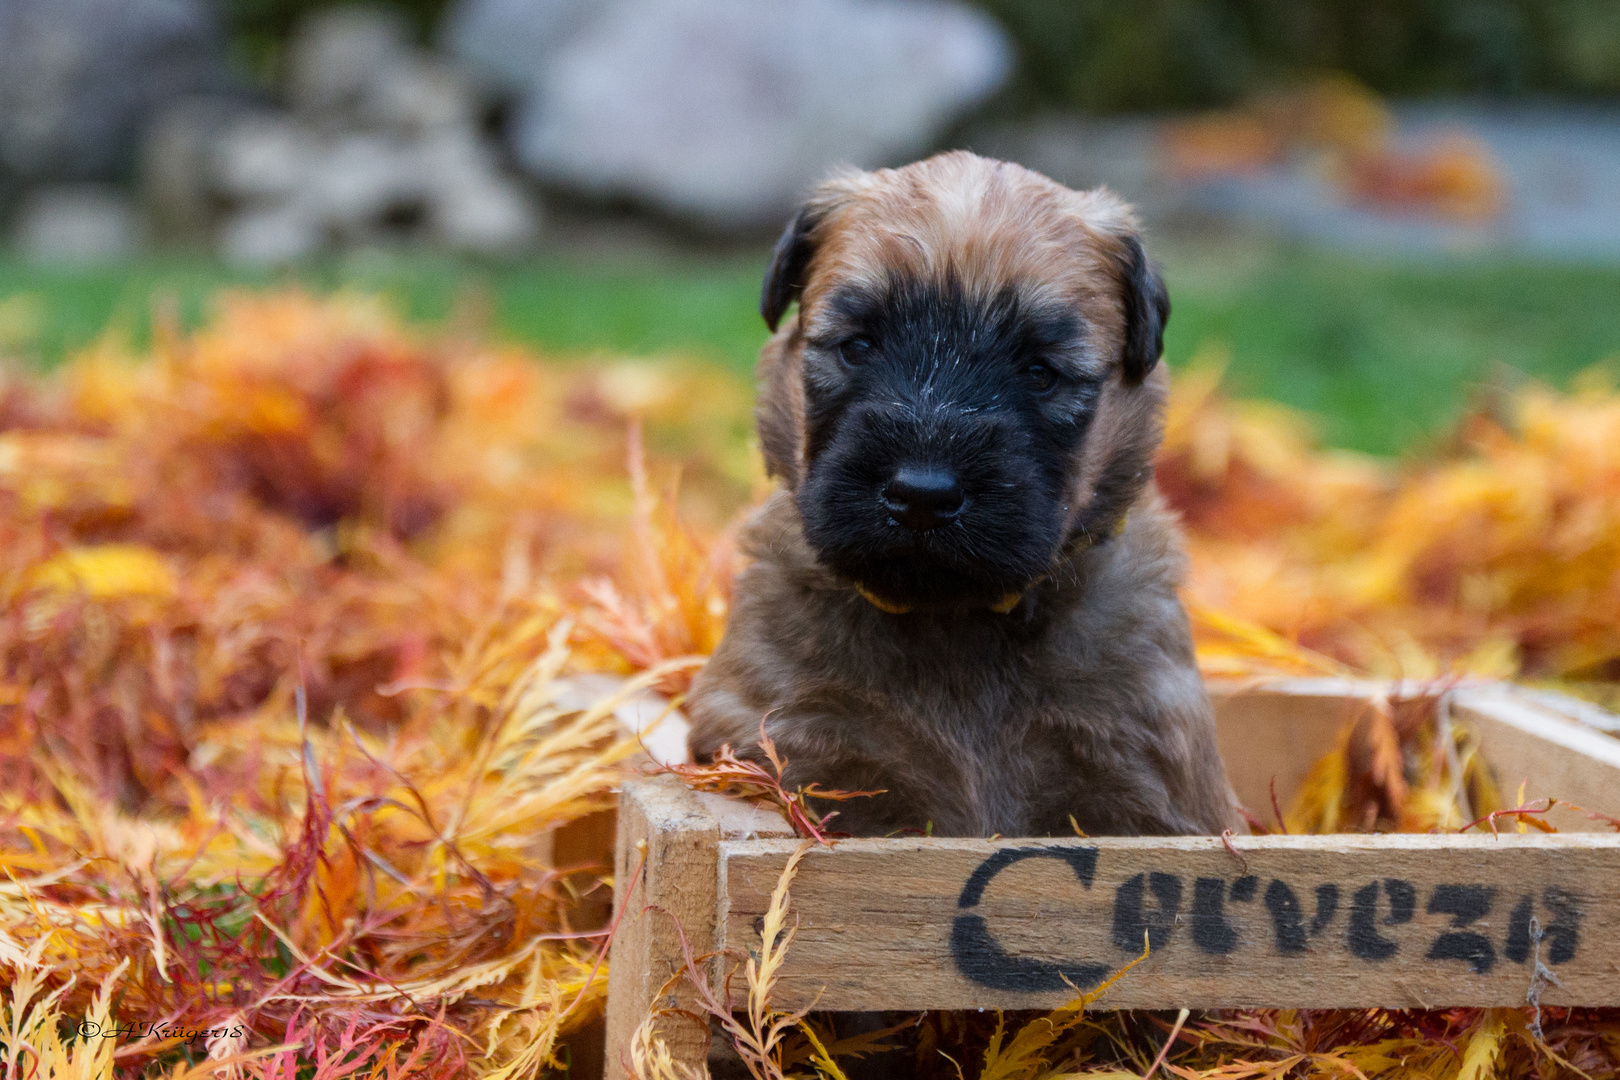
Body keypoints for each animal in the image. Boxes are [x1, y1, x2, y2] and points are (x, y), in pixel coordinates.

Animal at [686, 152, 1237, 841]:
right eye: (857, 346)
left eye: (1039, 372)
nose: (922, 496)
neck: (952, 619)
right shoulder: (804, 740)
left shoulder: (1141, 774)